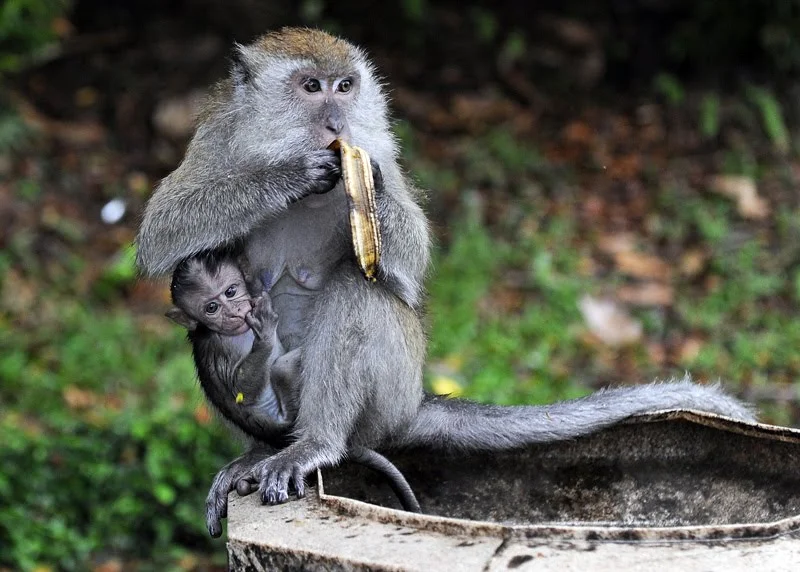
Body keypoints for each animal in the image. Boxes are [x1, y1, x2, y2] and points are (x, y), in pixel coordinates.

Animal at [165, 248, 421, 513]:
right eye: (211, 307)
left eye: (231, 291)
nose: (233, 311)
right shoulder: (224, 344)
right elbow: (243, 389)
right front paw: (265, 334)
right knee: (283, 366)